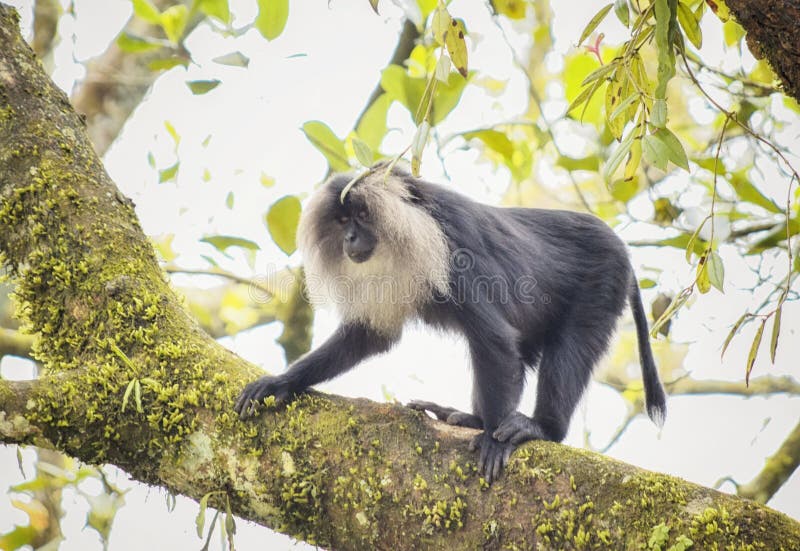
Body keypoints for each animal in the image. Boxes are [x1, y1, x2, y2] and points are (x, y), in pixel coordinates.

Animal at [234, 163, 667, 483]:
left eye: (361, 215)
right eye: (342, 221)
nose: (351, 239)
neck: (416, 224)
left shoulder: (454, 250)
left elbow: (494, 339)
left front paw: (495, 441)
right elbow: (368, 337)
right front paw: (281, 382)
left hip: (601, 281)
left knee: (567, 350)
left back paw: (541, 428)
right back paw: (472, 418)